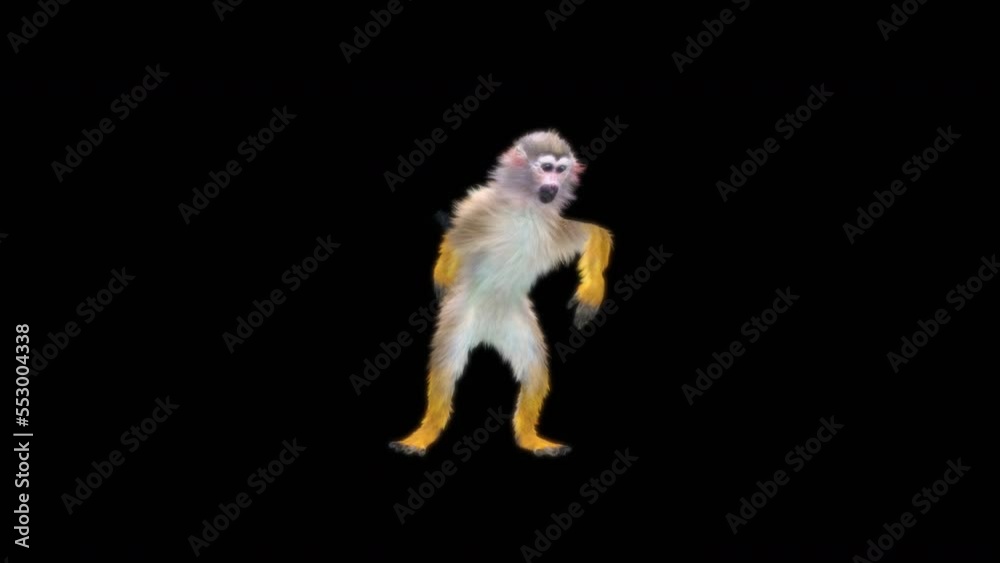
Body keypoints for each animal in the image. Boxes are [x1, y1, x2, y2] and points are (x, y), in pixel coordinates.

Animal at [390, 130, 613, 457]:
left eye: (561, 170)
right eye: (546, 167)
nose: (554, 185)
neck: (525, 207)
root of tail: (488, 333)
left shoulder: (547, 227)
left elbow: (593, 234)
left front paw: (592, 290)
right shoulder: (481, 205)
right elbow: (456, 241)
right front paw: (443, 275)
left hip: (516, 323)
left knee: (534, 371)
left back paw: (529, 437)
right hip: (461, 315)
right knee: (445, 369)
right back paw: (426, 431)